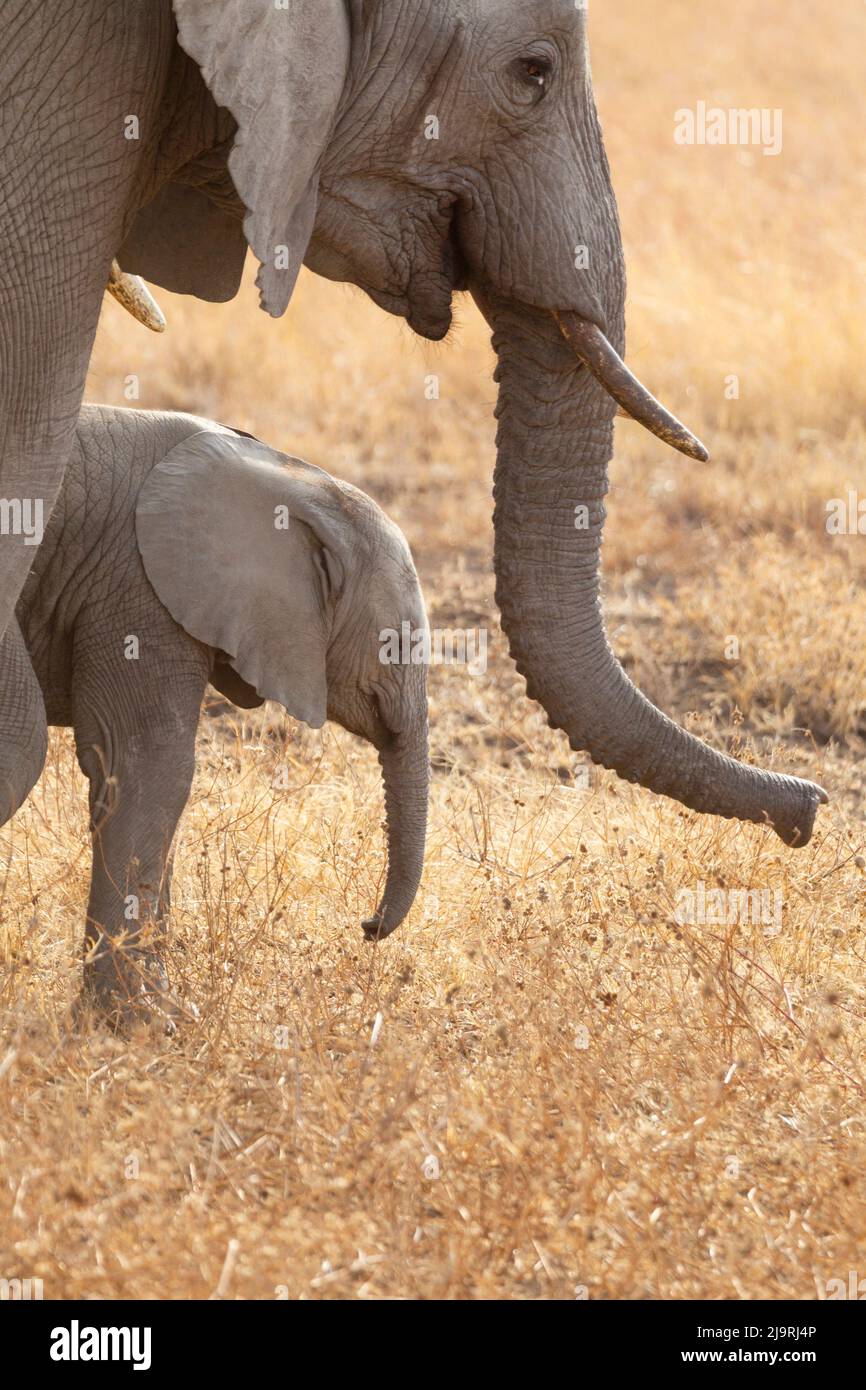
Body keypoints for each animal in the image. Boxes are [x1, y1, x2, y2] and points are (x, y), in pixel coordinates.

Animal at [8, 403, 429, 1024]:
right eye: (397, 643)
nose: (367, 926)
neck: (294, 479)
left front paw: (157, 1011)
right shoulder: (140, 589)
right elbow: (149, 765)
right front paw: (141, 1023)